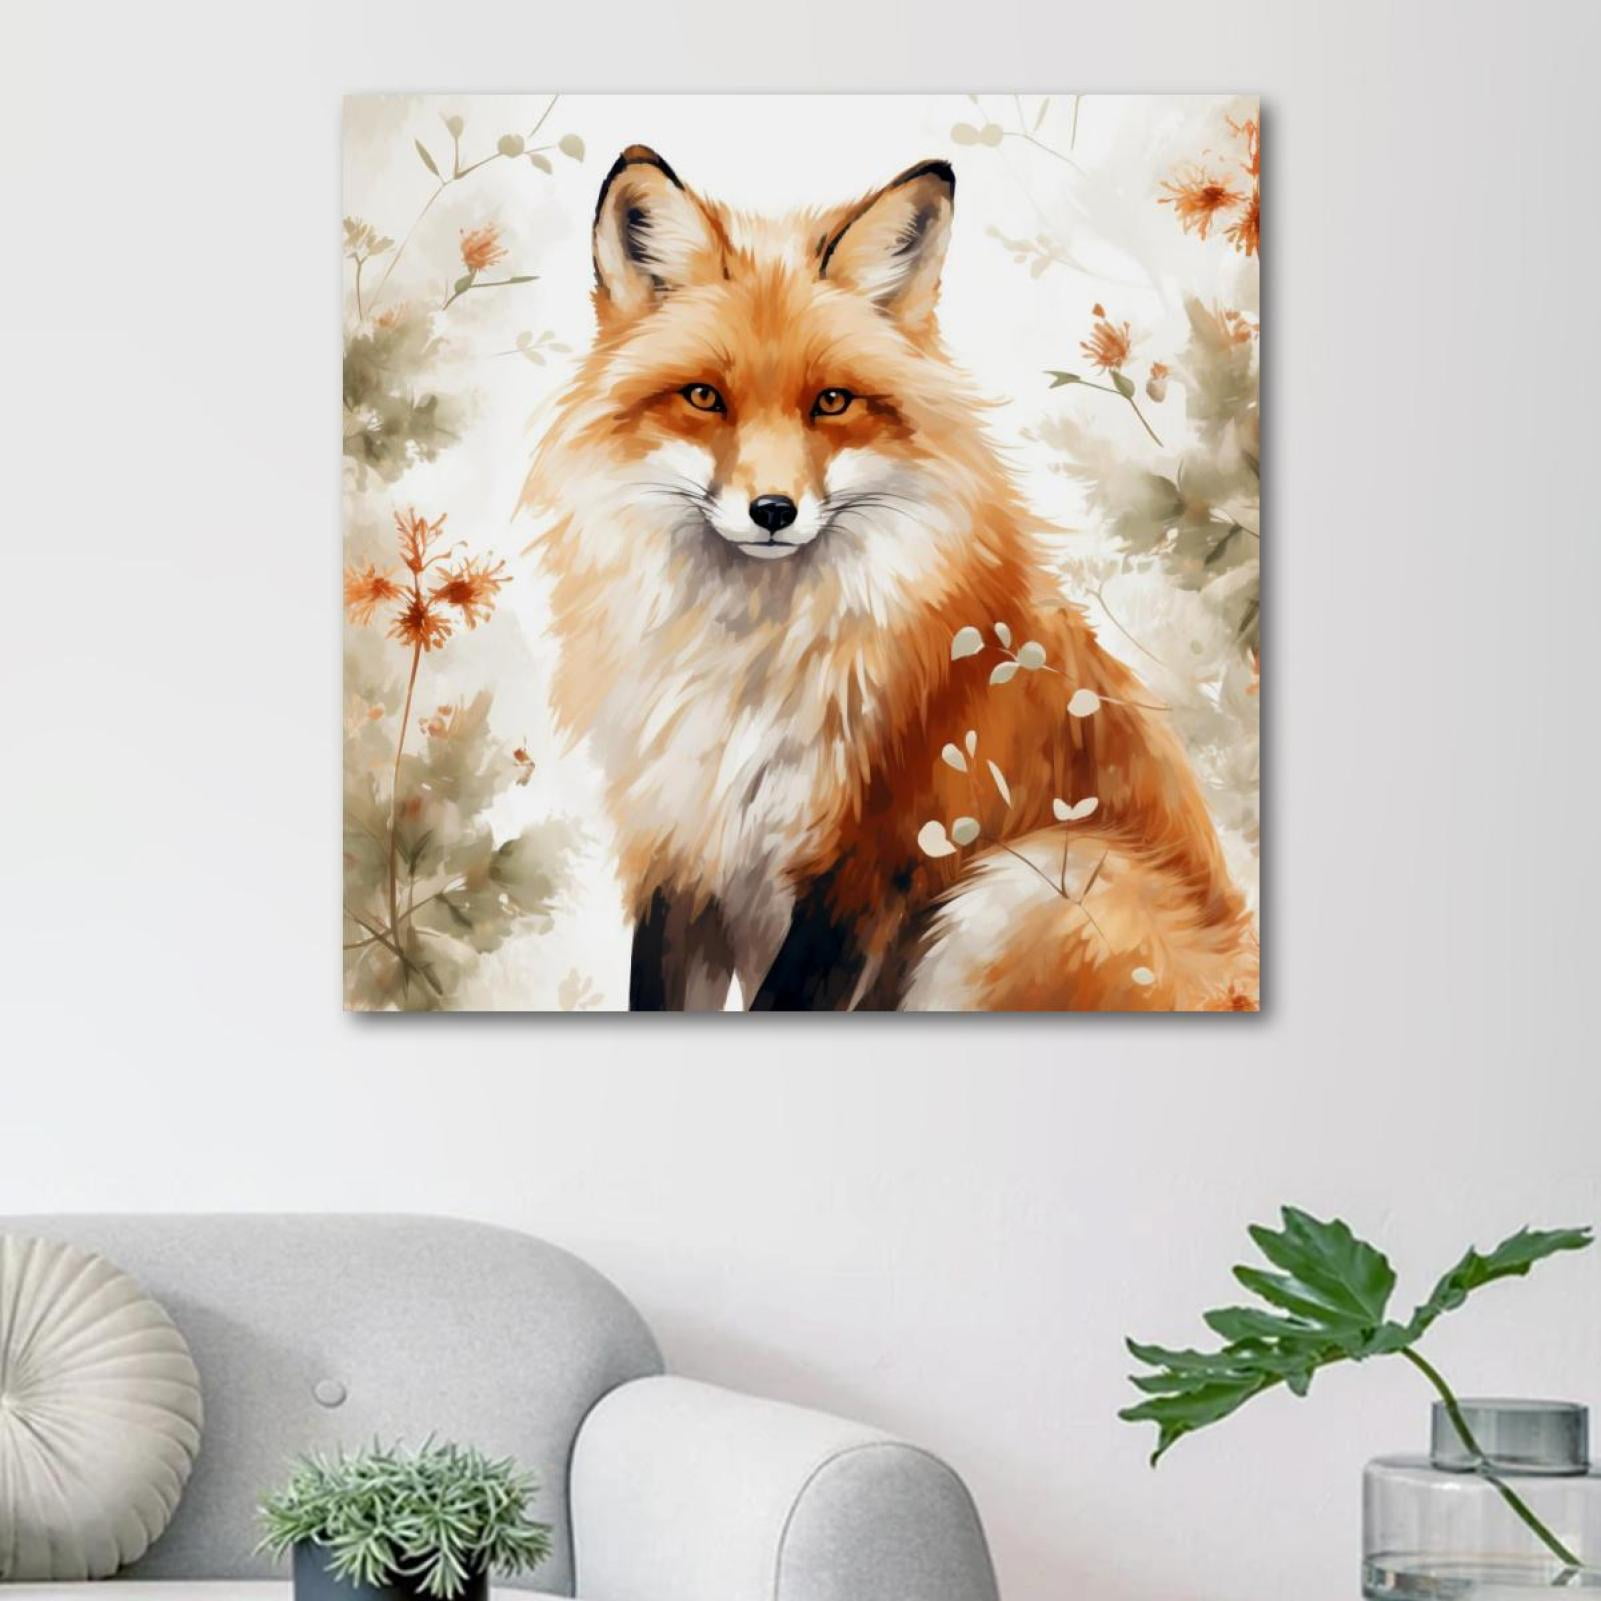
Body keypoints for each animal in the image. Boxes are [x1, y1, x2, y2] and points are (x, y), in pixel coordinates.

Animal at [522, 146, 1256, 1011]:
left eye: (831, 402)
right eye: (704, 397)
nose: (772, 511)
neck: (748, 665)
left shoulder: (866, 865)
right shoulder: (680, 853)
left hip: (1020, 887)